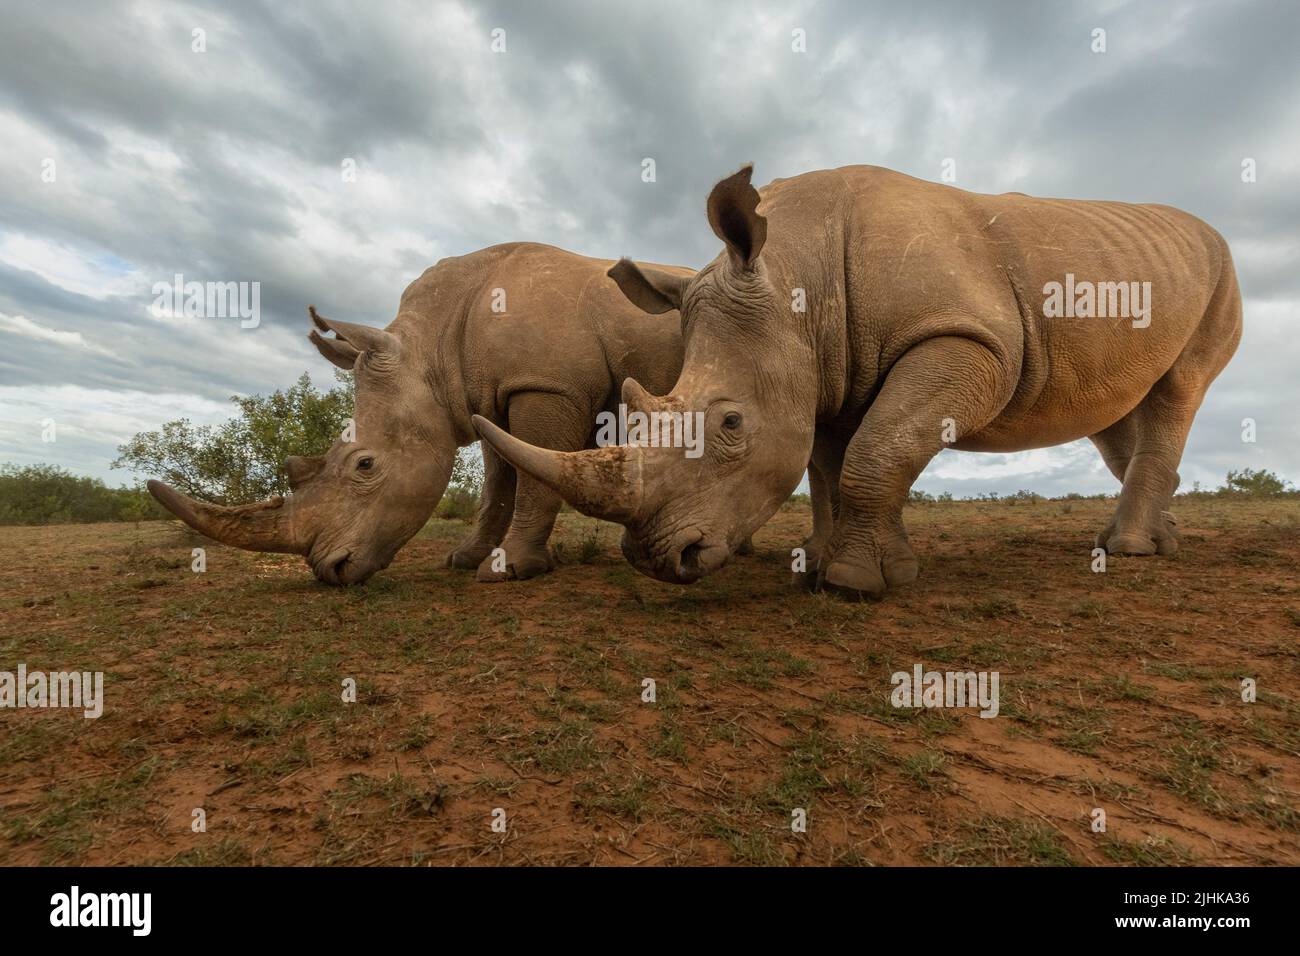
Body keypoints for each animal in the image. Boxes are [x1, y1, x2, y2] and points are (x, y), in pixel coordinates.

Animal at [147, 242, 704, 585]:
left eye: (365, 465)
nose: (331, 571)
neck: (432, 348)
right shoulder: (490, 397)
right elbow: (499, 482)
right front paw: (466, 559)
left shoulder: (545, 386)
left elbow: (531, 478)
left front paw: (509, 571)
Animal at [475, 165, 1243, 597]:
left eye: (731, 425)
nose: (657, 561)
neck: (796, 276)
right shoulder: (827, 365)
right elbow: (832, 463)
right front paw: (852, 565)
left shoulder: (963, 338)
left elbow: (877, 452)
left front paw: (850, 584)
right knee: (1118, 412)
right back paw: (1155, 540)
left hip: (1220, 276)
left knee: (1178, 391)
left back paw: (1130, 552)